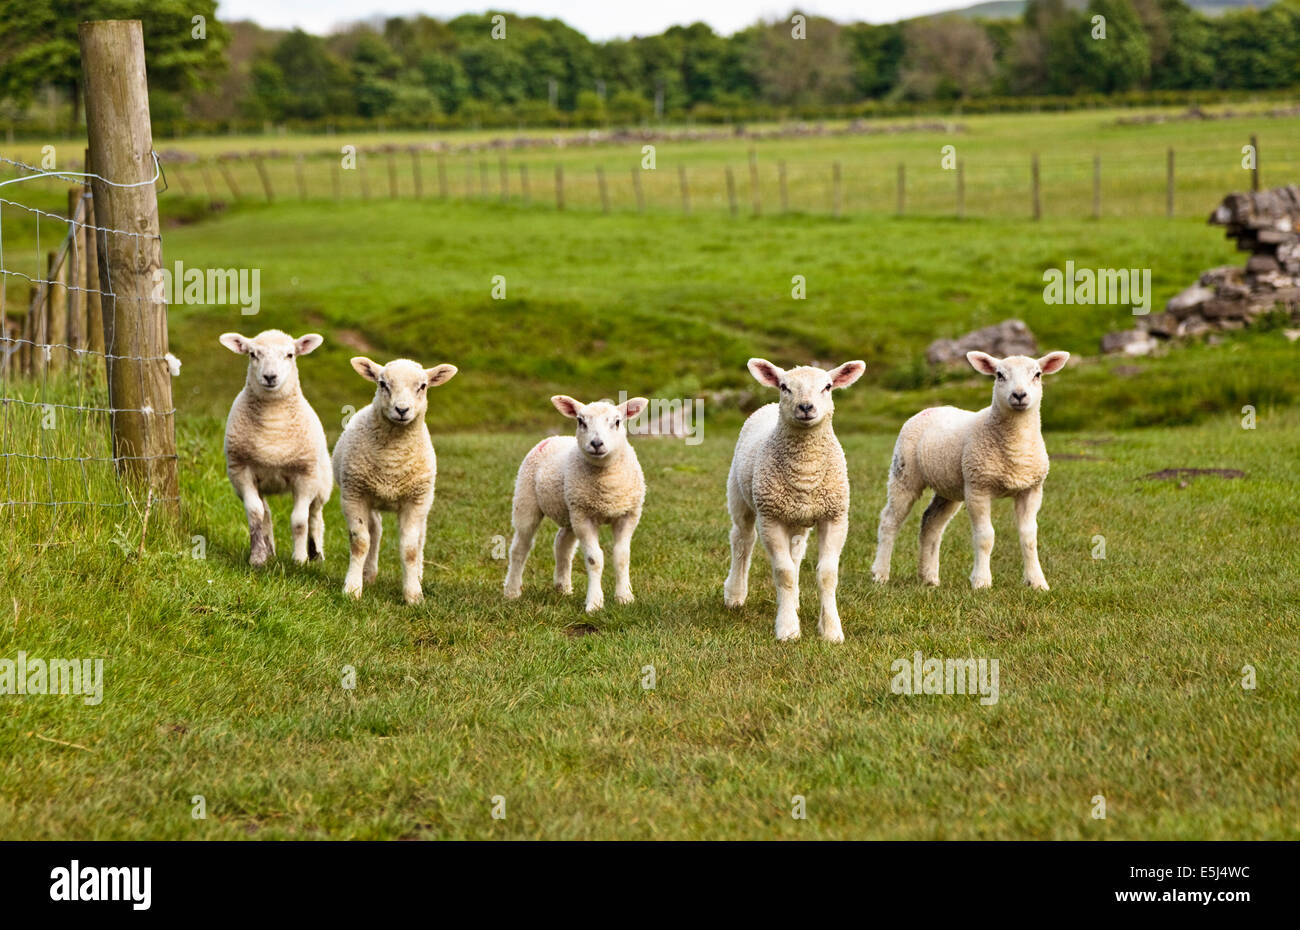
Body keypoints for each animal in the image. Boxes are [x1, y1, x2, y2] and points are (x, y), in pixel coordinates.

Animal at [219, 330, 332, 567]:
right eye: (253, 354)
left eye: (290, 355)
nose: (270, 377)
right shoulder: (241, 473)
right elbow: (255, 513)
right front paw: (257, 557)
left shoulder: (305, 476)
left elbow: (299, 520)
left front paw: (299, 560)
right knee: (267, 513)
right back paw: (269, 549)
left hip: (322, 481)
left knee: (315, 515)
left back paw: (316, 553)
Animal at [332, 356, 458, 604]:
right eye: (383, 384)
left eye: (423, 386)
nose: (402, 409)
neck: (392, 463)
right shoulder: (354, 495)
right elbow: (360, 542)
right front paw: (352, 588)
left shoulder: (415, 502)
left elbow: (409, 549)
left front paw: (413, 595)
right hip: (370, 495)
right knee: (375, 531)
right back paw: (369, 574)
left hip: (423, 501)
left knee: (420, 539)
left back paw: (418, 574)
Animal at [503, 395, 649, 613]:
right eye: (581, 421)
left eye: (617, 422)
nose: (596, 443)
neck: (607, 488)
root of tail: (555, 437)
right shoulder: (584, 517)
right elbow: (594, 559)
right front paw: (595, 603)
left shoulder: (628, 515)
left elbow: (622, 557)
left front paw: (625, 597)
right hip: (527, 499)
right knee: (520, 547)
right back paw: (512, 591)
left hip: (570, 510)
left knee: (562, 544)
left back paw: (562, 587)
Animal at [724, 358, 867, 643]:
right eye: (784, 386)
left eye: (828, 386)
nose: (805, 407)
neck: (805, 471)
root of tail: (768, 406)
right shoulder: (770, 518)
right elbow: (784, 572)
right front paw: (788, 629)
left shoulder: (835, 517)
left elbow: (826, 575)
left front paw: (831, 630)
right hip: (741, 496)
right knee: (742, 540)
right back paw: (735, 594)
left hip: (797, 517)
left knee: (796, 552)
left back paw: (795, 601)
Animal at [871, 350, 1071, 591]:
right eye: (999, 375)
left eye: (1038, 374)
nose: (1019, 395)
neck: (1015, 449)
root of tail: (931, 408)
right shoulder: (978, 488)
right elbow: (985, 536)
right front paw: (982, 581)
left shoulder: (1031, 489)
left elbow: (1029, 536)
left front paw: (1037, 582)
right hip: (904, 474)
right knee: (889, 521)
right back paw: (880, 574)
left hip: (949, 486)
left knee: (931, 522)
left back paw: (929, 577)